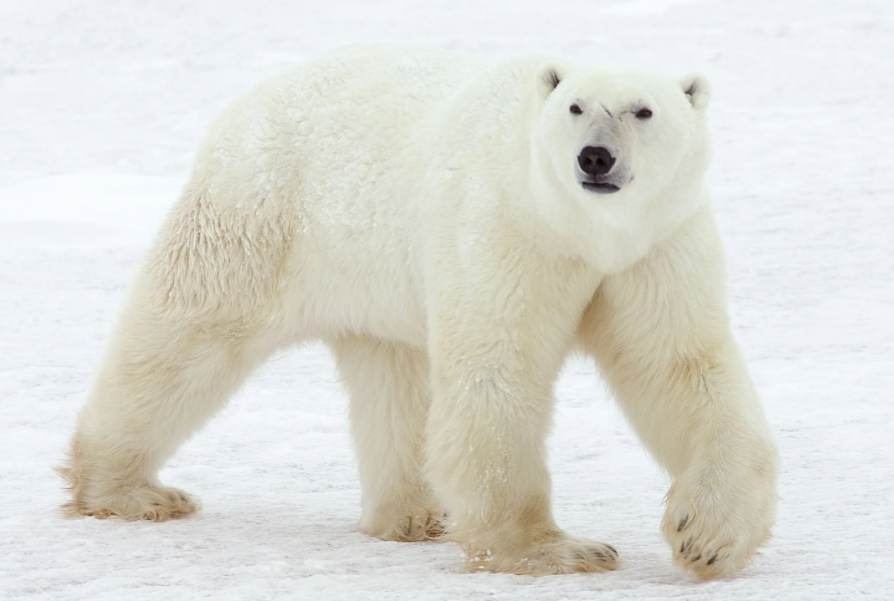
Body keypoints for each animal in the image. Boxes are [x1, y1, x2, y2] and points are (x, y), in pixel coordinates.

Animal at [59, 47, 780, 580]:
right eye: (574, 106)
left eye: (644, 110)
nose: (594, 156)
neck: (580, 230)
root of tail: (246, 102)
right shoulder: (505, 230)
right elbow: (497, 371)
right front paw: (557, 549)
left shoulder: (655, 245)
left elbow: (679, 366)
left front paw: (707, 537)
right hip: (261, 217)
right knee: (187, 335)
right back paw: (132, 491)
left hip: (373, 277)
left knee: (394, 379)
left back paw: (411, 515)